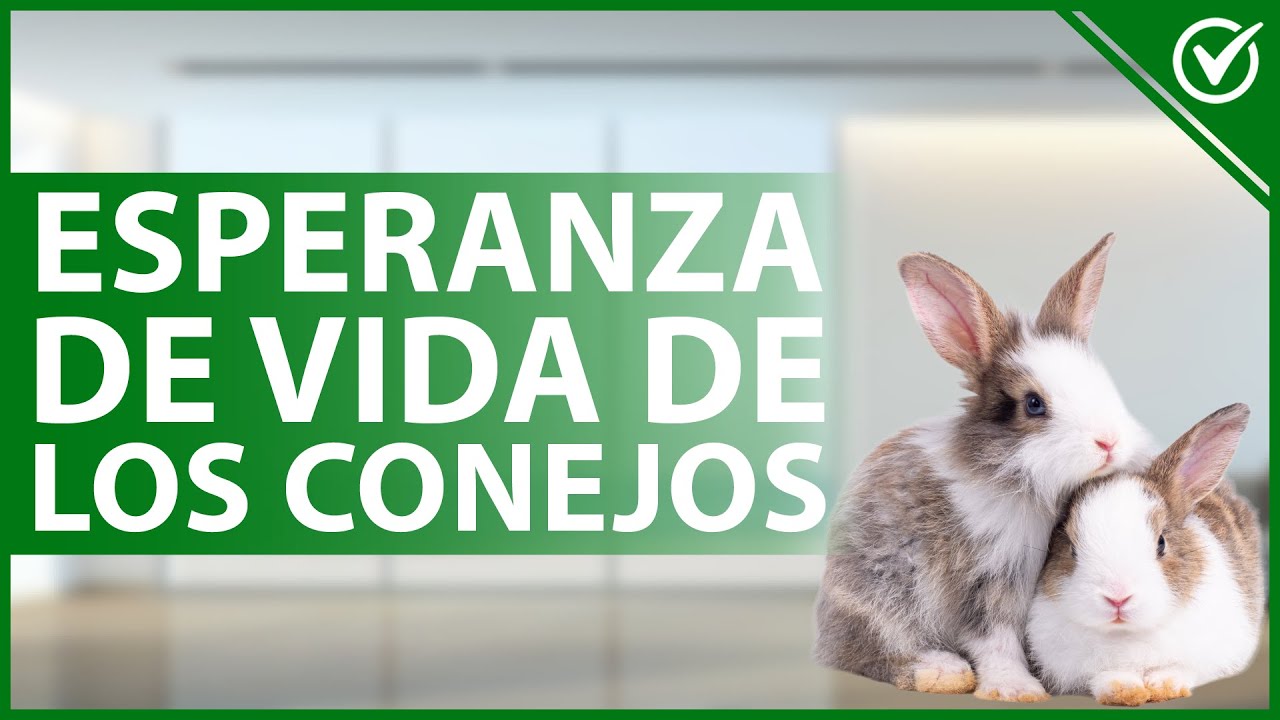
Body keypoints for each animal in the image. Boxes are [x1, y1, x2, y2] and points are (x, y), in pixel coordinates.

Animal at [814, 234, 1156, 702]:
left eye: (1104, 384)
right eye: (1033, 404)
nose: (1109, 442)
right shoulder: (983, 577)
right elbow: (994, 639)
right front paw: (1018, 690)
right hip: (880, 599)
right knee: (865, 652)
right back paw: (940, 671)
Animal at [1027, 403, 1263, 706]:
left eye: (1161, 543)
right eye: (1071, 547)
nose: (1118, 598)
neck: (1128, 632)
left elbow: (1182, 669)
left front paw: (1165, 686)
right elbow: (1105, 676)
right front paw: (1124, 691)